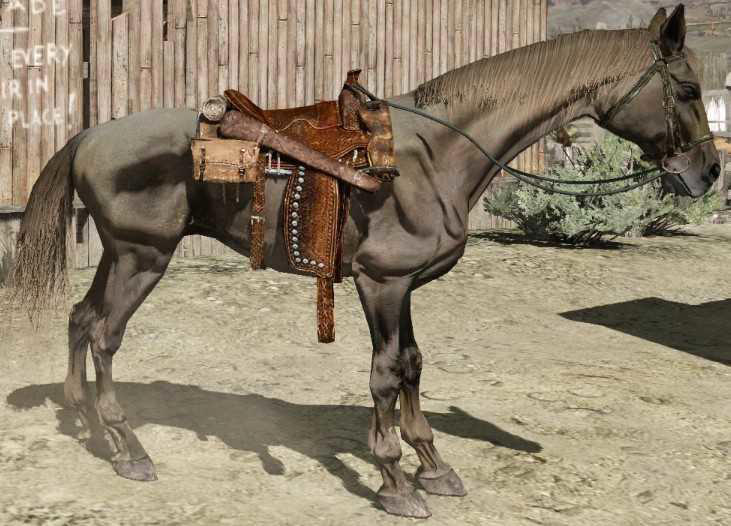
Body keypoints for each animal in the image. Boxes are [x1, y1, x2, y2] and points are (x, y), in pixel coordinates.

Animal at [9, 4, 719, 519]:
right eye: (686, 87)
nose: (709, 172)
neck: (433, 156)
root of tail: (88, 134)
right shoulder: (382, 283)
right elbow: (384, 375)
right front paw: (394, 480)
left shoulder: (404, 289)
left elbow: (412, 365)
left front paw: (434, 466)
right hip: (142, 258)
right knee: (105, 335)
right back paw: (129, 448)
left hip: (120, 255)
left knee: (80, 320)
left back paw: (88, 424)